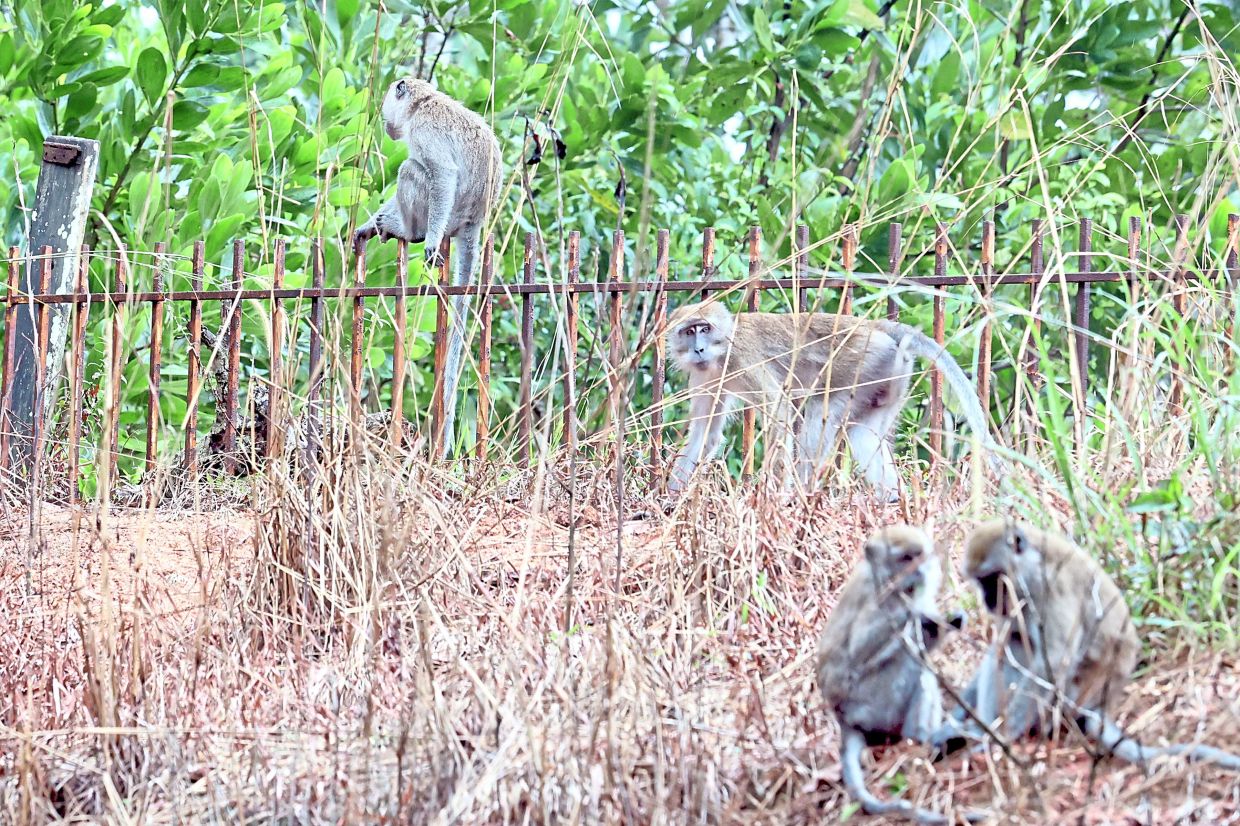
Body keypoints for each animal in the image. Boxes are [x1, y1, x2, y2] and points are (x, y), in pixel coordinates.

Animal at [353, 76, 503, 457]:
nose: (386, 124)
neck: (424, 103)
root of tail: (474, 221)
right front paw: (369, 224)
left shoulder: (424, 131)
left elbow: (442, 175)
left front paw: (429, 239)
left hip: (449, 215)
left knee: (414, 171)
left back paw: (411, 231)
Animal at [663, 300, 1004, 498]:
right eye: (689, 331)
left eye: (705, 328)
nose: (698, 349)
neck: (722, 350)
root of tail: (876, 326)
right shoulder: (705, 378)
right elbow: (705, 434)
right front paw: (670, 498)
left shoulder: (743, 358)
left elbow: (779, 411)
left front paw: (771, 498)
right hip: (887, 376)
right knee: (864, 433)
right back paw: (893, 501)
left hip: (862, 363)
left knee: (818, 416)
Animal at [816, 524, 983, 824]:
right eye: (906, 558)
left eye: (920, 556)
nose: (921, 571)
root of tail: (841, 717)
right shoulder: (878, 600)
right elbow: (858, 650)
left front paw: (952, 620)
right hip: (872, 706)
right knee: (914, 667)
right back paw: (923, 740)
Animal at [932, 519, 1240, 771]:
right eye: (980, 582)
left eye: (993, 579)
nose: (988, 601)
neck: (1034, 560)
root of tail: (1102, 702)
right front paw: (955, 720)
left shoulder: (1047, 588)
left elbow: (1055, 660)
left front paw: (1001, 734)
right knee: (1012, 641)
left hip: (1065, 702)